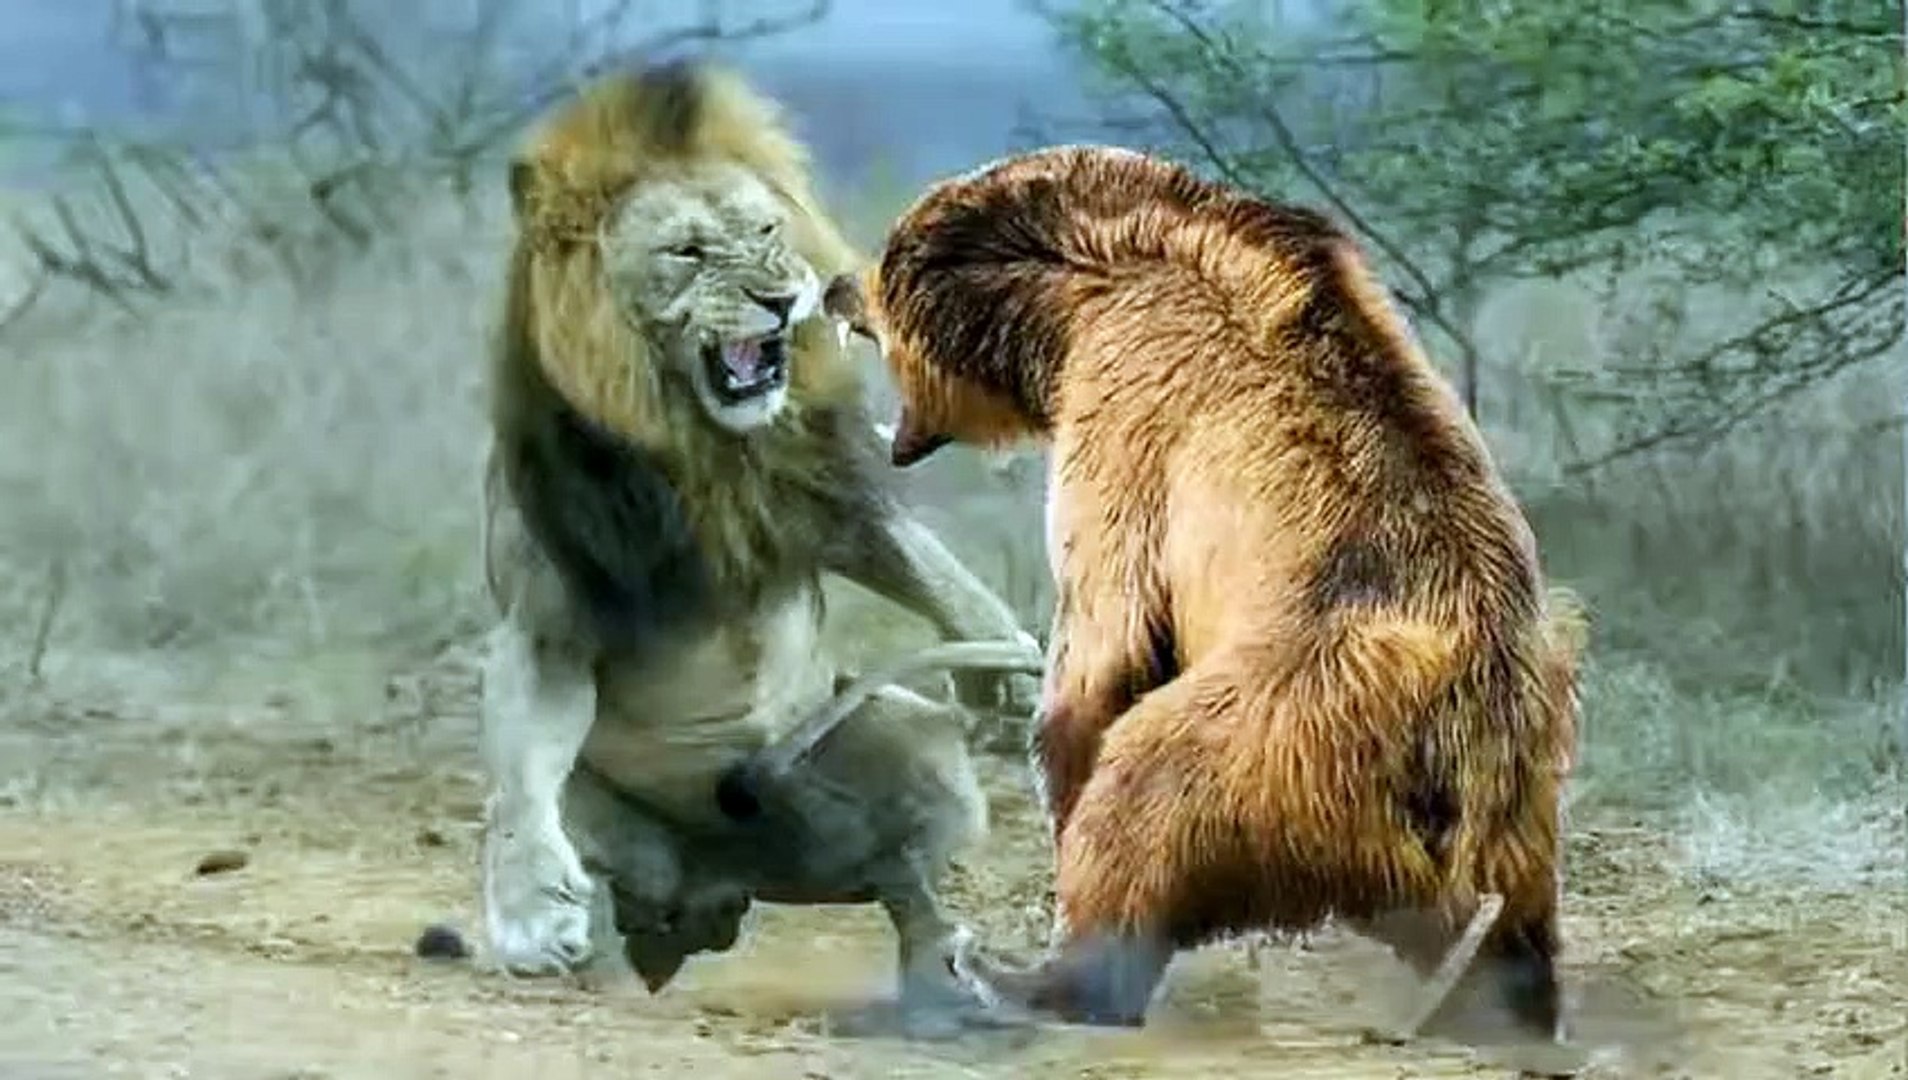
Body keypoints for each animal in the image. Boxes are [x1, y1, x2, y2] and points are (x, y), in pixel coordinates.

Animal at [475, 59, 1041, 1027]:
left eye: (767, 232)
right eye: (689, 252)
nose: (781, 298)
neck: (702, 447)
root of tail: (725, 885)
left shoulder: (825, 499)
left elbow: (930, 566)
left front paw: (1006, 667)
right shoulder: (551, 610)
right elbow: (520, 773)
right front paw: (527, 912)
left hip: (905, 741)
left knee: (904, 881)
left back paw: (945, 985)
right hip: (615, 829)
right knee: (604, 877)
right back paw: (609, 972)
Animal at [820, 144, 1589, 1045]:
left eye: (880, 260)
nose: (832, 285)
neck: (1068, 298)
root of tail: (1464, 718)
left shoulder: (1131, 412)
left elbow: (1106, 632)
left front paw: (1056, 759)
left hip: (1290, 715)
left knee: (1152, 786)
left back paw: (1022, 975)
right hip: (1524, 772)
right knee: (1507, 920)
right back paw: (1501, 1001)